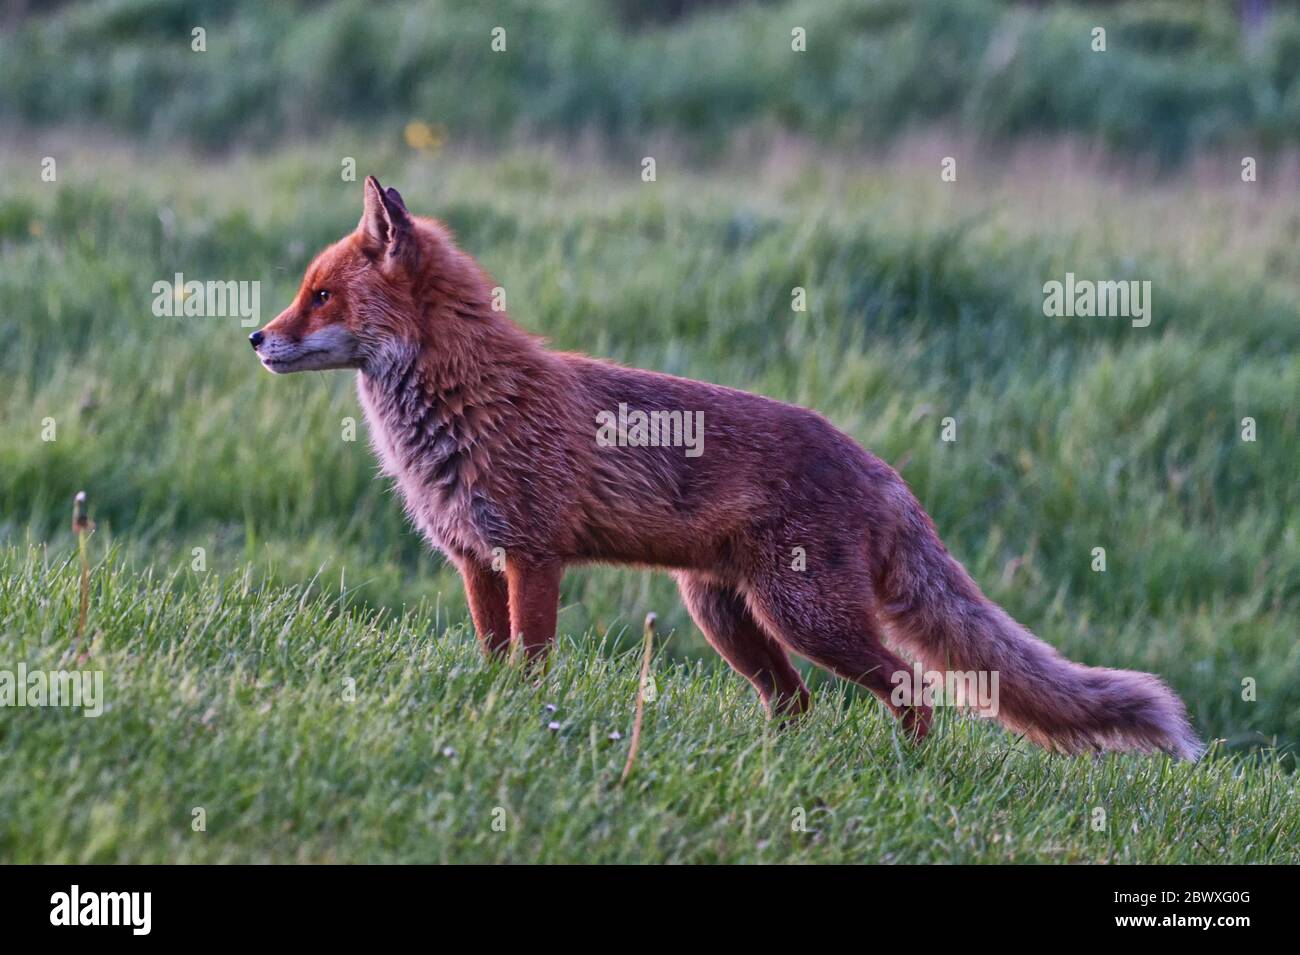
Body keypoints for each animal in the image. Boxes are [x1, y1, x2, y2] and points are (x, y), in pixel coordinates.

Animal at [250, 176, 1202, 760]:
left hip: (806, 615)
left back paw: (915, 773)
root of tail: (883, 469)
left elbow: (533, 660)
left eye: (320, 296)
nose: (256, 338)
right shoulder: (474, 557)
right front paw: (496, 707)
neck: (464, 399)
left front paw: (521, 717)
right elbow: (495, 655)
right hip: (726, 616)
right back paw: (777, 767)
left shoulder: (532, 552)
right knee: (796, 703)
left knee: (912, 690)